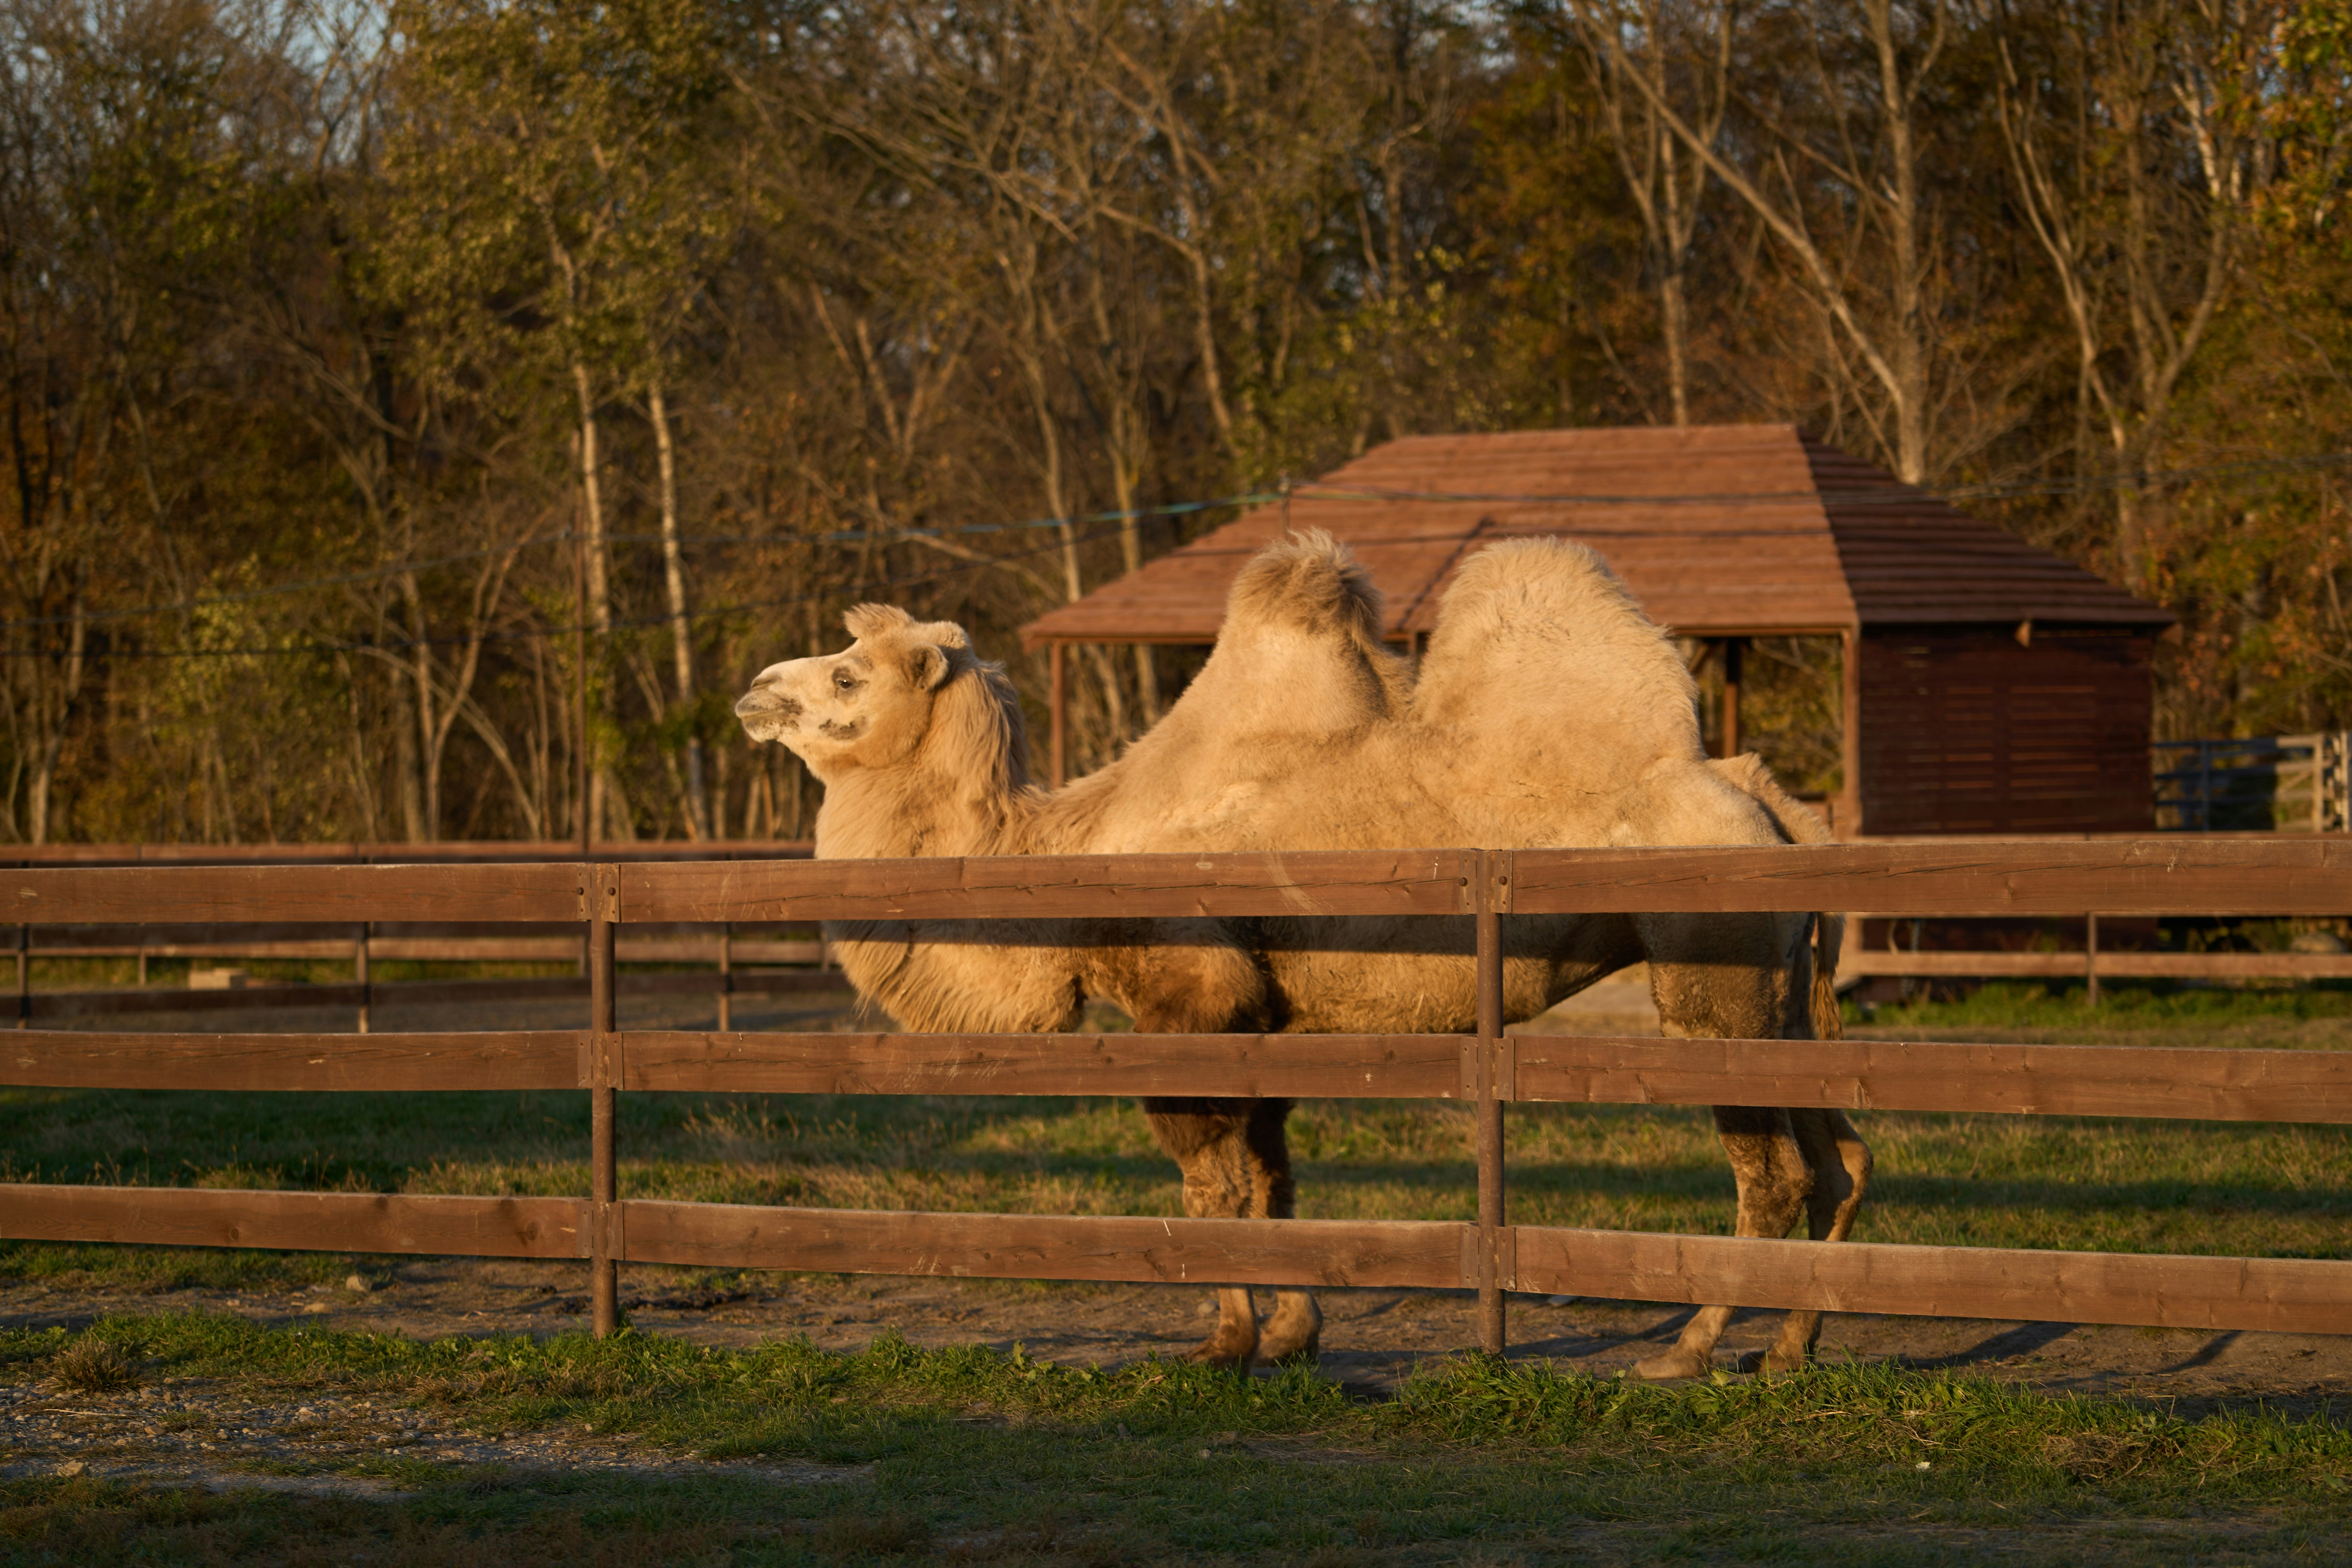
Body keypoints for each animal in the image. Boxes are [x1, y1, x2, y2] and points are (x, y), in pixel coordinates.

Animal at [734, 531, 1870, 1378]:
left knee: (1770, 1174)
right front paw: (1291, 1334)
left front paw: (1225, 1344)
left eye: (846, 673)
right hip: (1783, 996)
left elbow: (1214, 1186)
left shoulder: (1190, 1003)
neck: (1071, 848)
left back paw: (1688, 1349)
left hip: (1713, 983)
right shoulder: (1264, 1017)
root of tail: (1769, 802)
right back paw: (1789, 1350)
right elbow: (1273, 1183)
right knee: (1839, 1162)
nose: (753, 689)